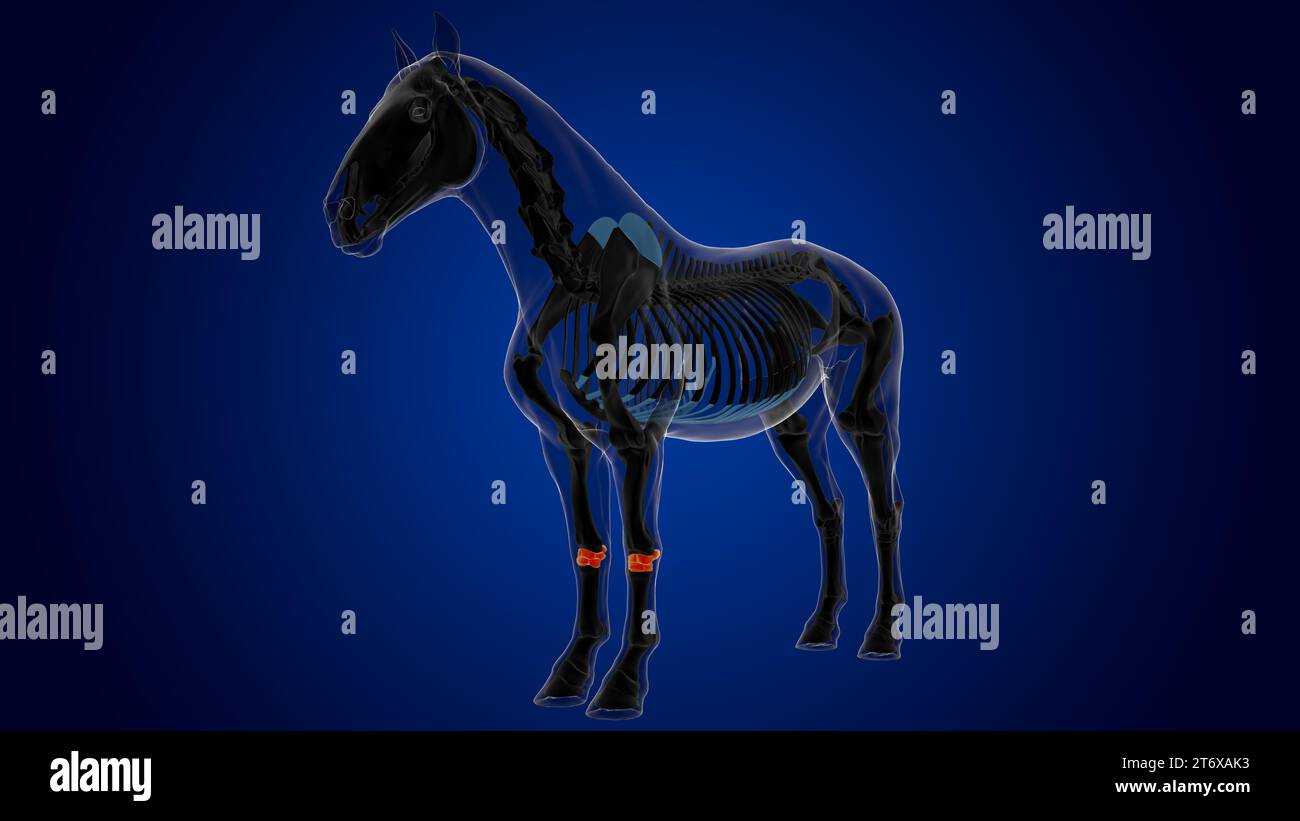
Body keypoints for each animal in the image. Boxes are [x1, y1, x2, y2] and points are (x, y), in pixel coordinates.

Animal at [323, 15, 905, 719]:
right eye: (370, 109)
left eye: (417, 110)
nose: (342, 218)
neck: (578, 282)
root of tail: (861, 278)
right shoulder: (564, 442)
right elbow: (588, 545)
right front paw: (569, 676)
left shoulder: (636, 440)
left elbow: (639, 547)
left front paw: (624, 685)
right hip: (793, 423)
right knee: (831, 508)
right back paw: (820, 630)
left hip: (862, 411)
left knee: (884, 507)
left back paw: (882, 639)